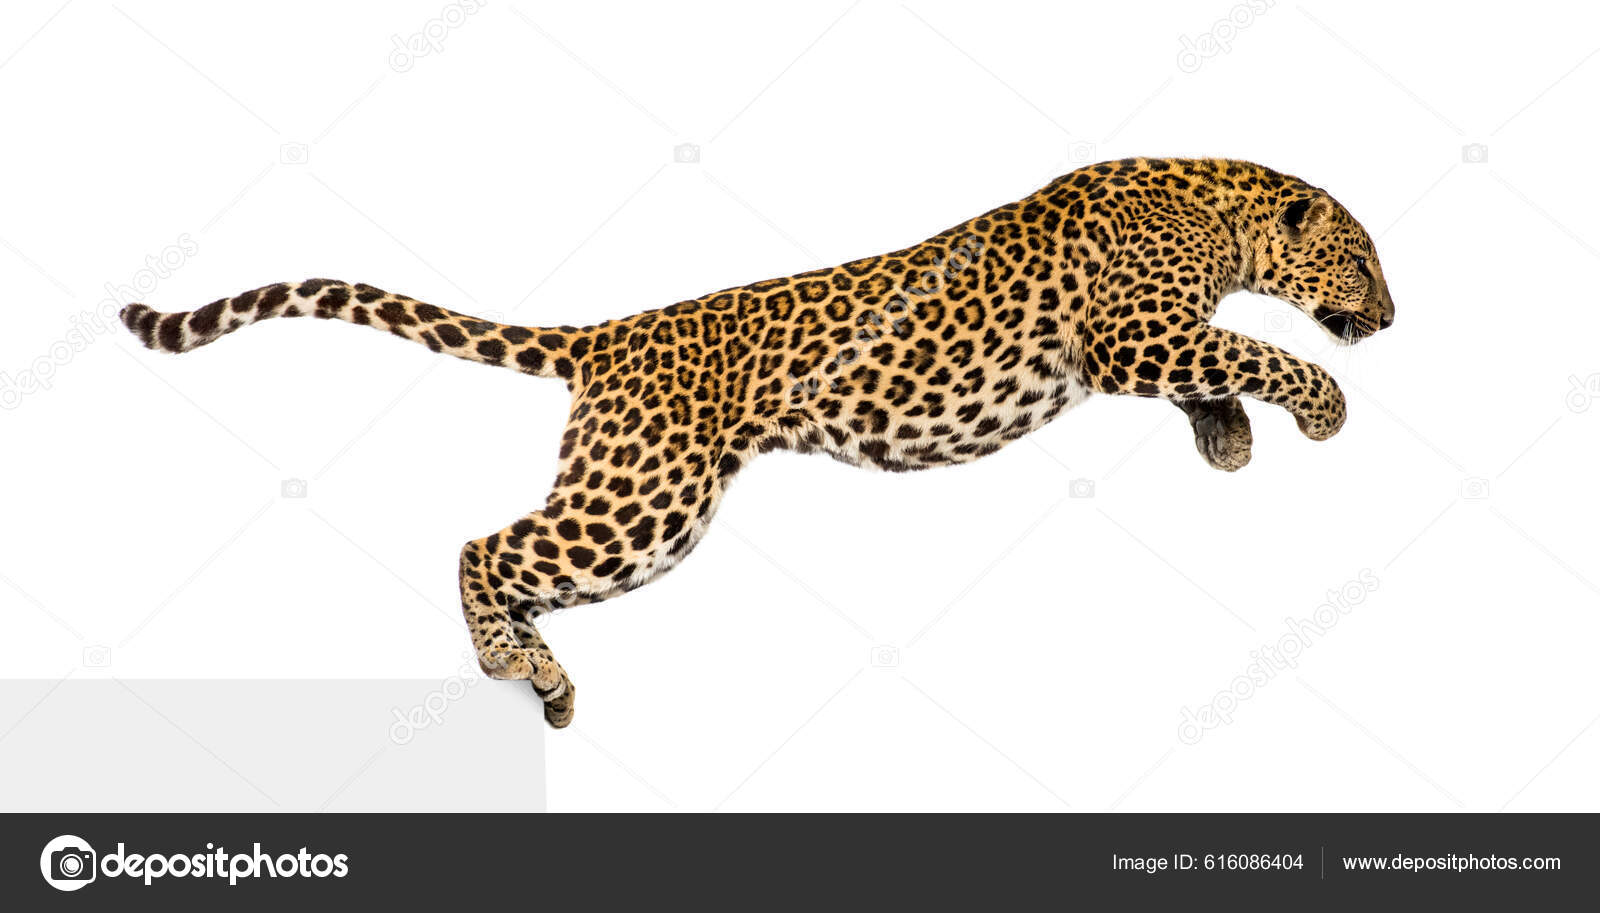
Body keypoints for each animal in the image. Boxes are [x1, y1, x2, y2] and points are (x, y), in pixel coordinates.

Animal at [121, 157, 1395, 728]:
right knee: (484, 544)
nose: (1390, 317)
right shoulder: (1134, 333)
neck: (1224, 215)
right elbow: (1264, 354)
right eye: (1364, 259)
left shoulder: (1151, 345)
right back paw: (511, 668)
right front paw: (1317, 409)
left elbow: (1219, 370)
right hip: (647, 498)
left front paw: (1226, 440)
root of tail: (620, 331)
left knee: (511, 558)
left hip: (630, 493)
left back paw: (548, 681)